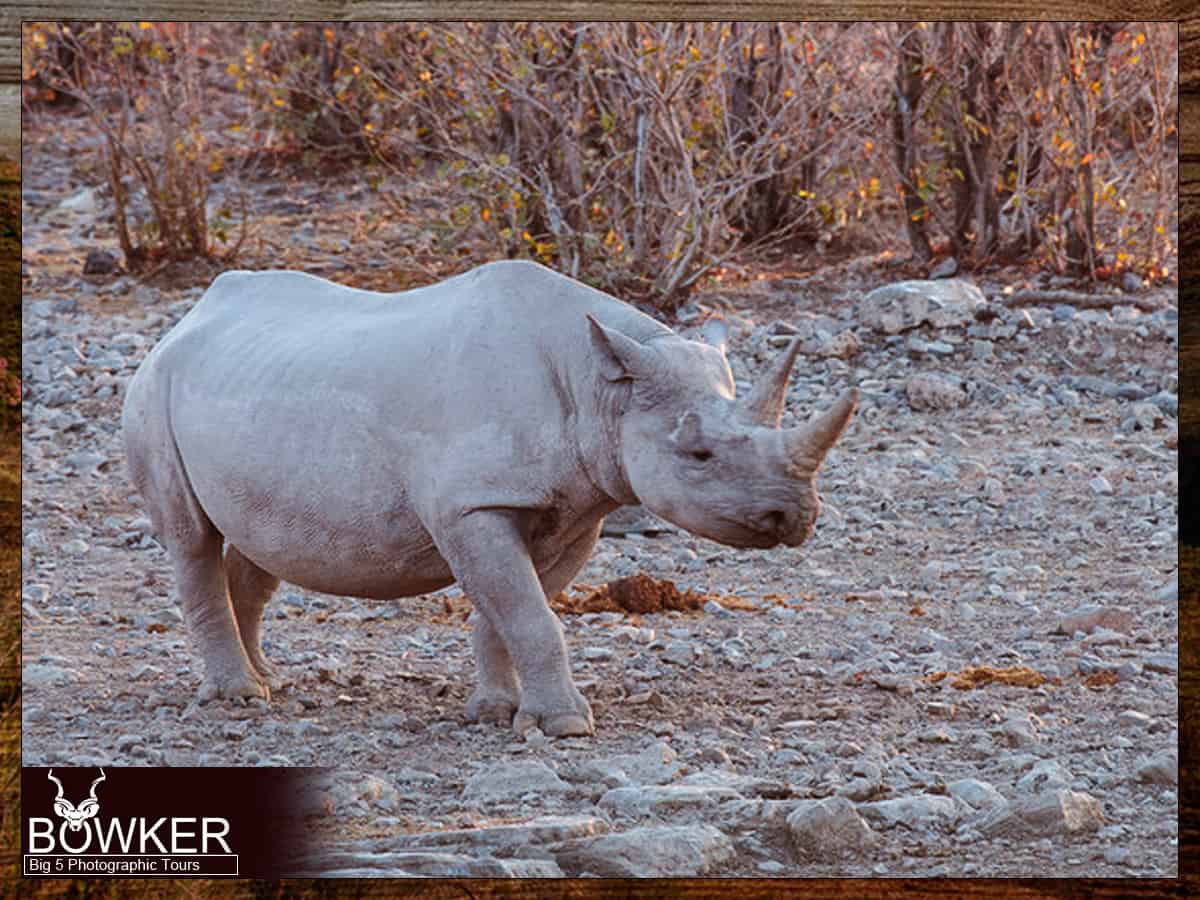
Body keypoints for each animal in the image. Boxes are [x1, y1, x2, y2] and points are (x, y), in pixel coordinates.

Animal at [122, 260, 857, 737]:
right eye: (698, 455)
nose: (796, 516)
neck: (601, 386)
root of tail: (187, 318)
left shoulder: (576, 508)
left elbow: (512, 611)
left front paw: (499, 712)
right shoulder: (473, 504)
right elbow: (529, 614)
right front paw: (566, 727)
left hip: (254, 394)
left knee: (257, 545)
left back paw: (267, 680)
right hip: (153, 387)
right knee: (190, 537)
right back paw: (237, 700)